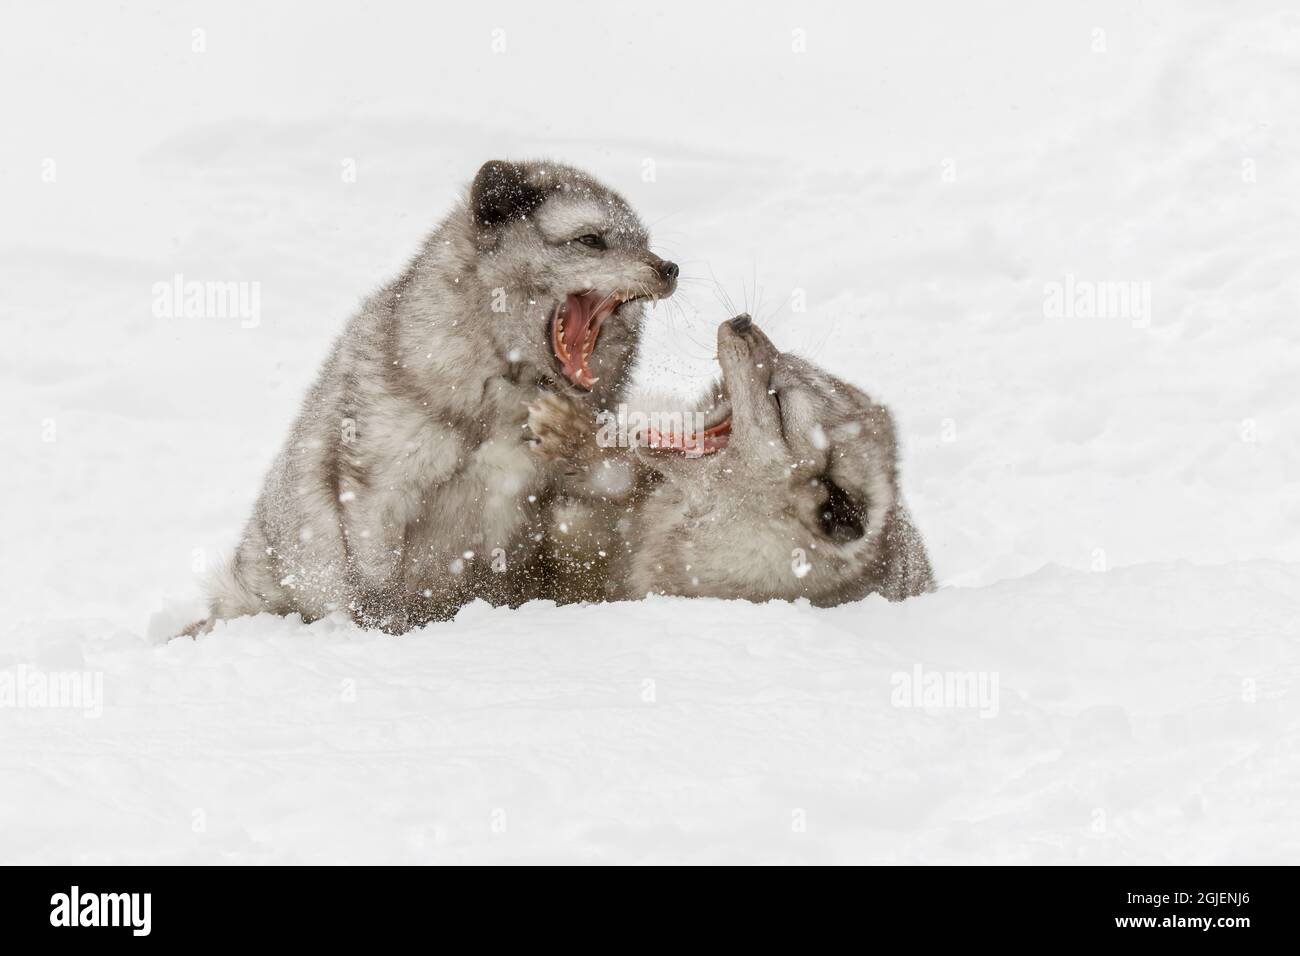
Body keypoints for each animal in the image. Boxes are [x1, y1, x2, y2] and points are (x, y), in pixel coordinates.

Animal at [185, 160, 678, 635]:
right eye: (591, 239)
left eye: (644, 242)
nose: (670, 268)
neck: (504, 390)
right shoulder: (376, 488)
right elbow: (377, 584)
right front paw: (386, 634)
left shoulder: (537, 507)